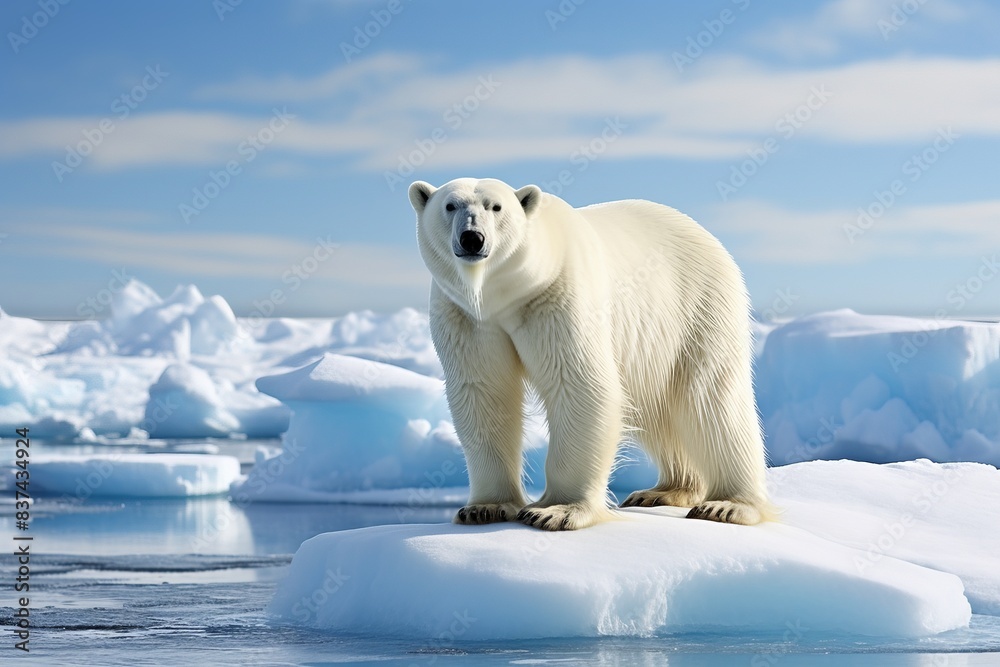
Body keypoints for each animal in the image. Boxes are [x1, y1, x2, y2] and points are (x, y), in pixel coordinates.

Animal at [408, 177, 770, 531]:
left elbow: (579, 385)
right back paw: (664, 491)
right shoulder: (466, 316)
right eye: (450, 205)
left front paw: (555, 510)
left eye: (495, 206)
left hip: (698, 307)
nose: (472, 238)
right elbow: (483, 393)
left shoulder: (558, 295)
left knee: (711, 400)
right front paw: (484, 507)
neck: (503, 296)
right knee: (660, 408)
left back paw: (726, 505)